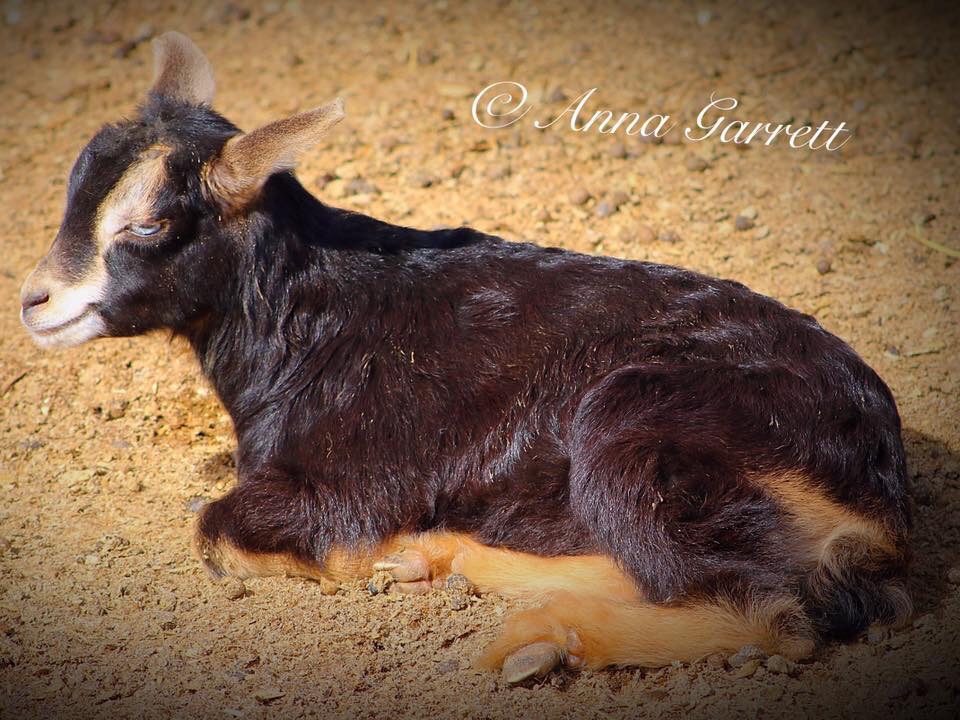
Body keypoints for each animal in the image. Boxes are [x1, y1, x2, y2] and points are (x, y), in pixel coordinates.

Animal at [20, 33, 911, 683]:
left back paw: (542, 639)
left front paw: (358, 558)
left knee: (773, 614)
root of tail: (882, 504)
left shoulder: (353, 480)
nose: (34, 302)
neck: (306, 322)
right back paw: (446, 562)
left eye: (146, 223)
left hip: (640, 424)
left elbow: (215, 526)